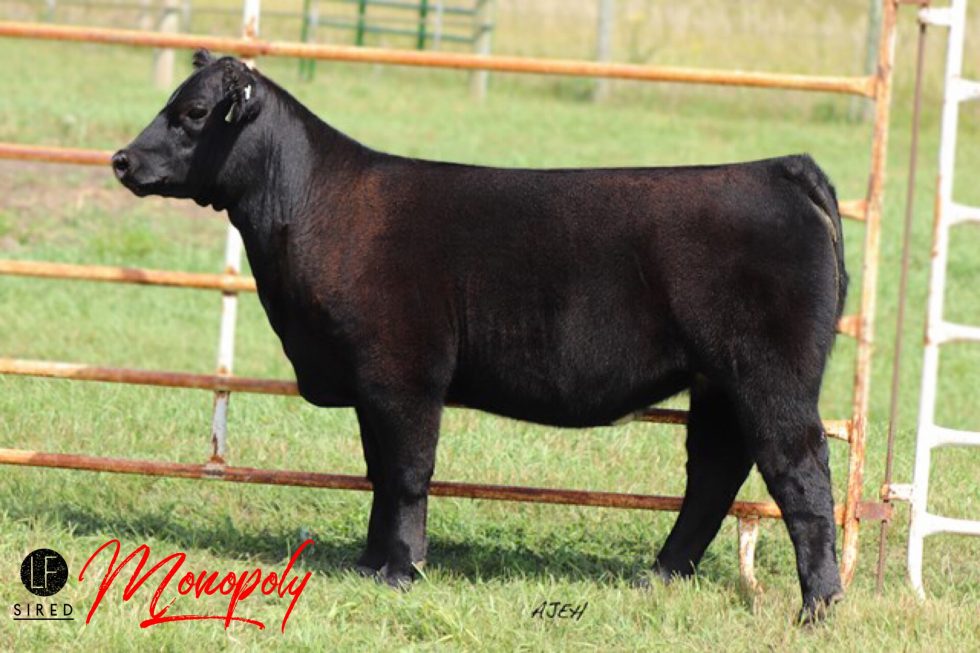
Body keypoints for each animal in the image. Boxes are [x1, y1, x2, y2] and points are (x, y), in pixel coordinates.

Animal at [112, 50, 848, 622]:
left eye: (194, 113)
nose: (121, 159)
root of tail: (777, 167)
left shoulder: (403, 374)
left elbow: (407, 473)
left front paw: (402, 570)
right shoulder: (368, 385)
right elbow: (379, 473)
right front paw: (370, 564)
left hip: (771, 376)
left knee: (800, 473)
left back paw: (818, 606)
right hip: (718, 382)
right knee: (715, 472)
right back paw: (661, 575)